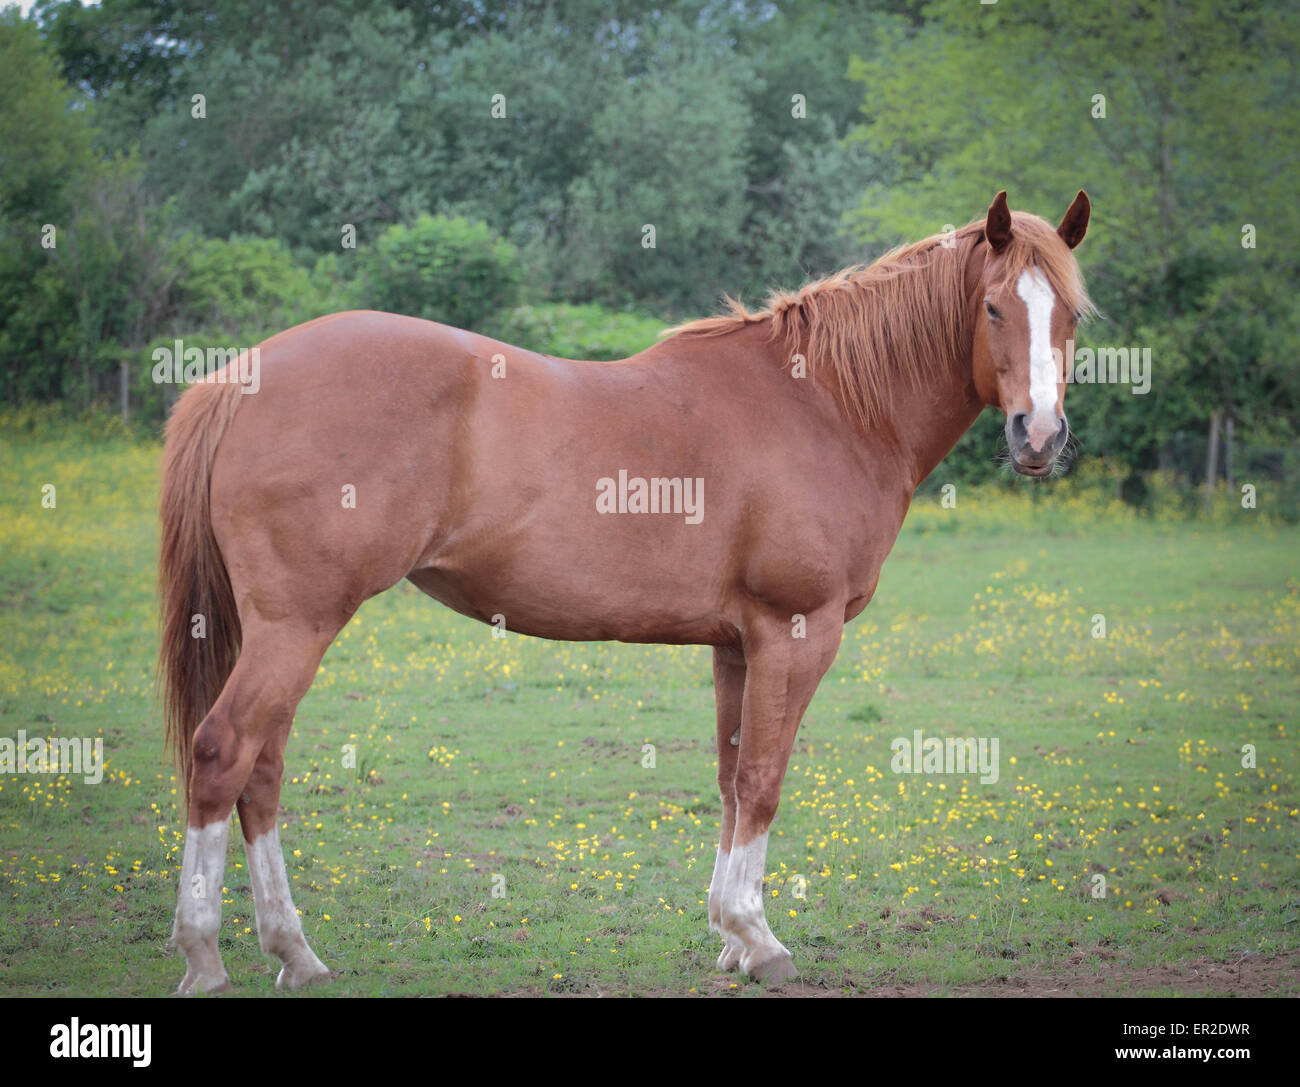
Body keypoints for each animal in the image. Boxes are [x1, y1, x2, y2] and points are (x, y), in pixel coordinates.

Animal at [159, 189, 1092, 992]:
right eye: (995, 308)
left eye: (1073, 316)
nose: (1039, 436)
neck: (827, 404)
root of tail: (243, 376)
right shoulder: (795, 631)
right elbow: (764, 777)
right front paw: (760, 938)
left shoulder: (736, 645)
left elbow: (730, 776)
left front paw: (728, 937)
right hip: (297, 624)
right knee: (224, 753)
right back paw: (205, 956)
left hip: (286, 630)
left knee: (263, 768)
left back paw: (295, 952)